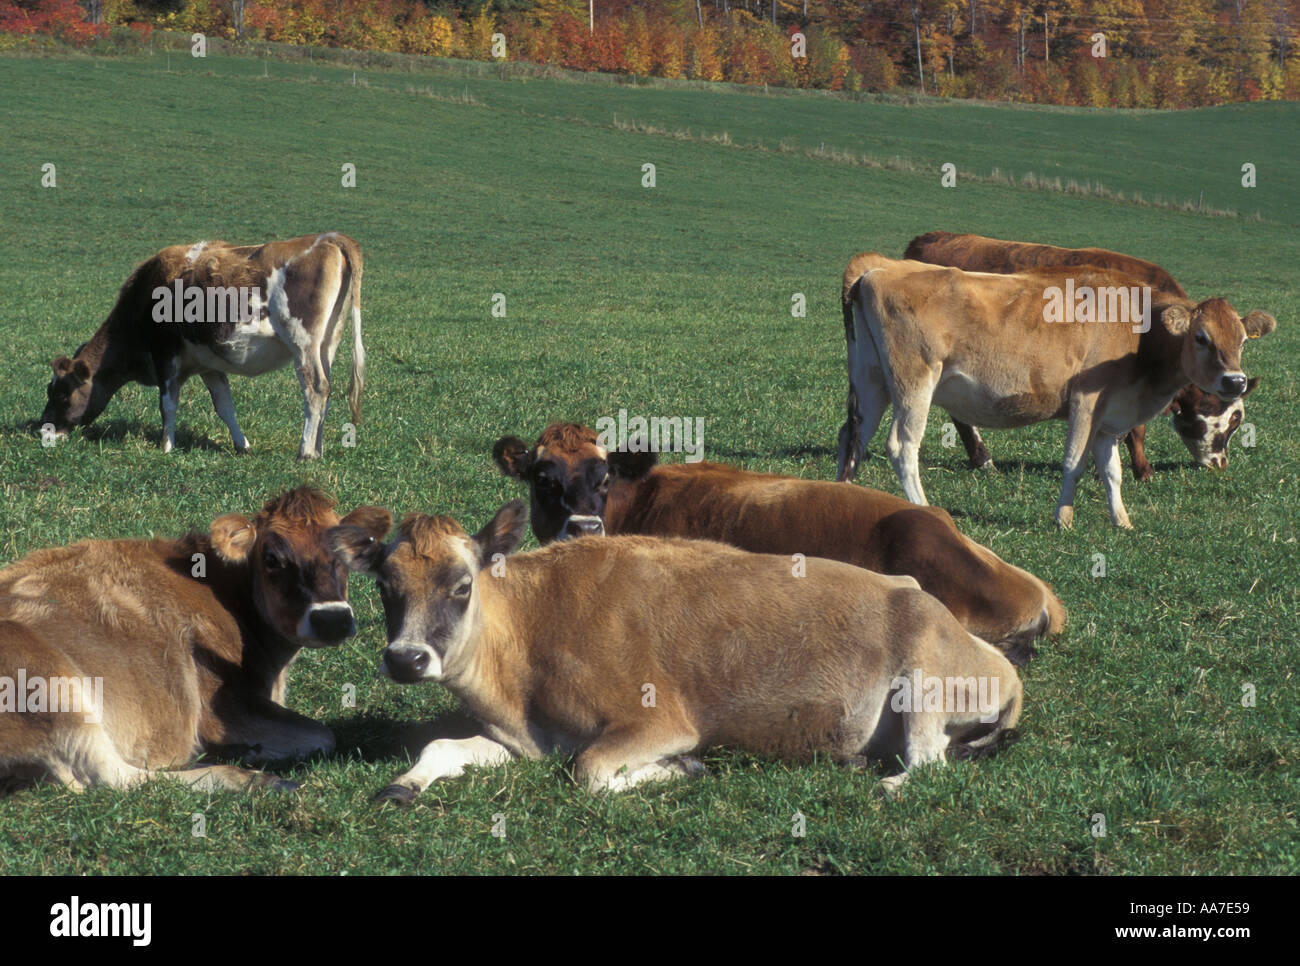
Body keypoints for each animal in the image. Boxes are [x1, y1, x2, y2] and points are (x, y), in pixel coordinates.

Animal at [0, 486, 391, 792]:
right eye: (271, 558)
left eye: (346, 554)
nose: (333, 618)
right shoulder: (226, 707)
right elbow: (324, 736)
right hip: (53, 690)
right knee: (114, 776)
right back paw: (253, 778)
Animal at [39, 233, 365, 460]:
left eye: (62, 393)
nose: (43, 428)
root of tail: (327, 238)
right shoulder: (209, 364)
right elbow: (225, 406)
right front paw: (242, 445)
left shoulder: (164, 355)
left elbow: (168, 404)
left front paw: (166, 446)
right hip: (326, 344)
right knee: (327, 389)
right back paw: (318, 449)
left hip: (302, 342)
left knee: (315, 388)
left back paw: (305, 452)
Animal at [327, 500, 1023, 800]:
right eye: (386, 587)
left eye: (462, 585)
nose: (406, 659)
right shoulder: (526, 742)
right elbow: (442, 747)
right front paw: (403, 786)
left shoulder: (659, 721)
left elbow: (591, 772)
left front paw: (683, 769)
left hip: (924, 676)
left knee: (926, 764)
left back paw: (886, 784)